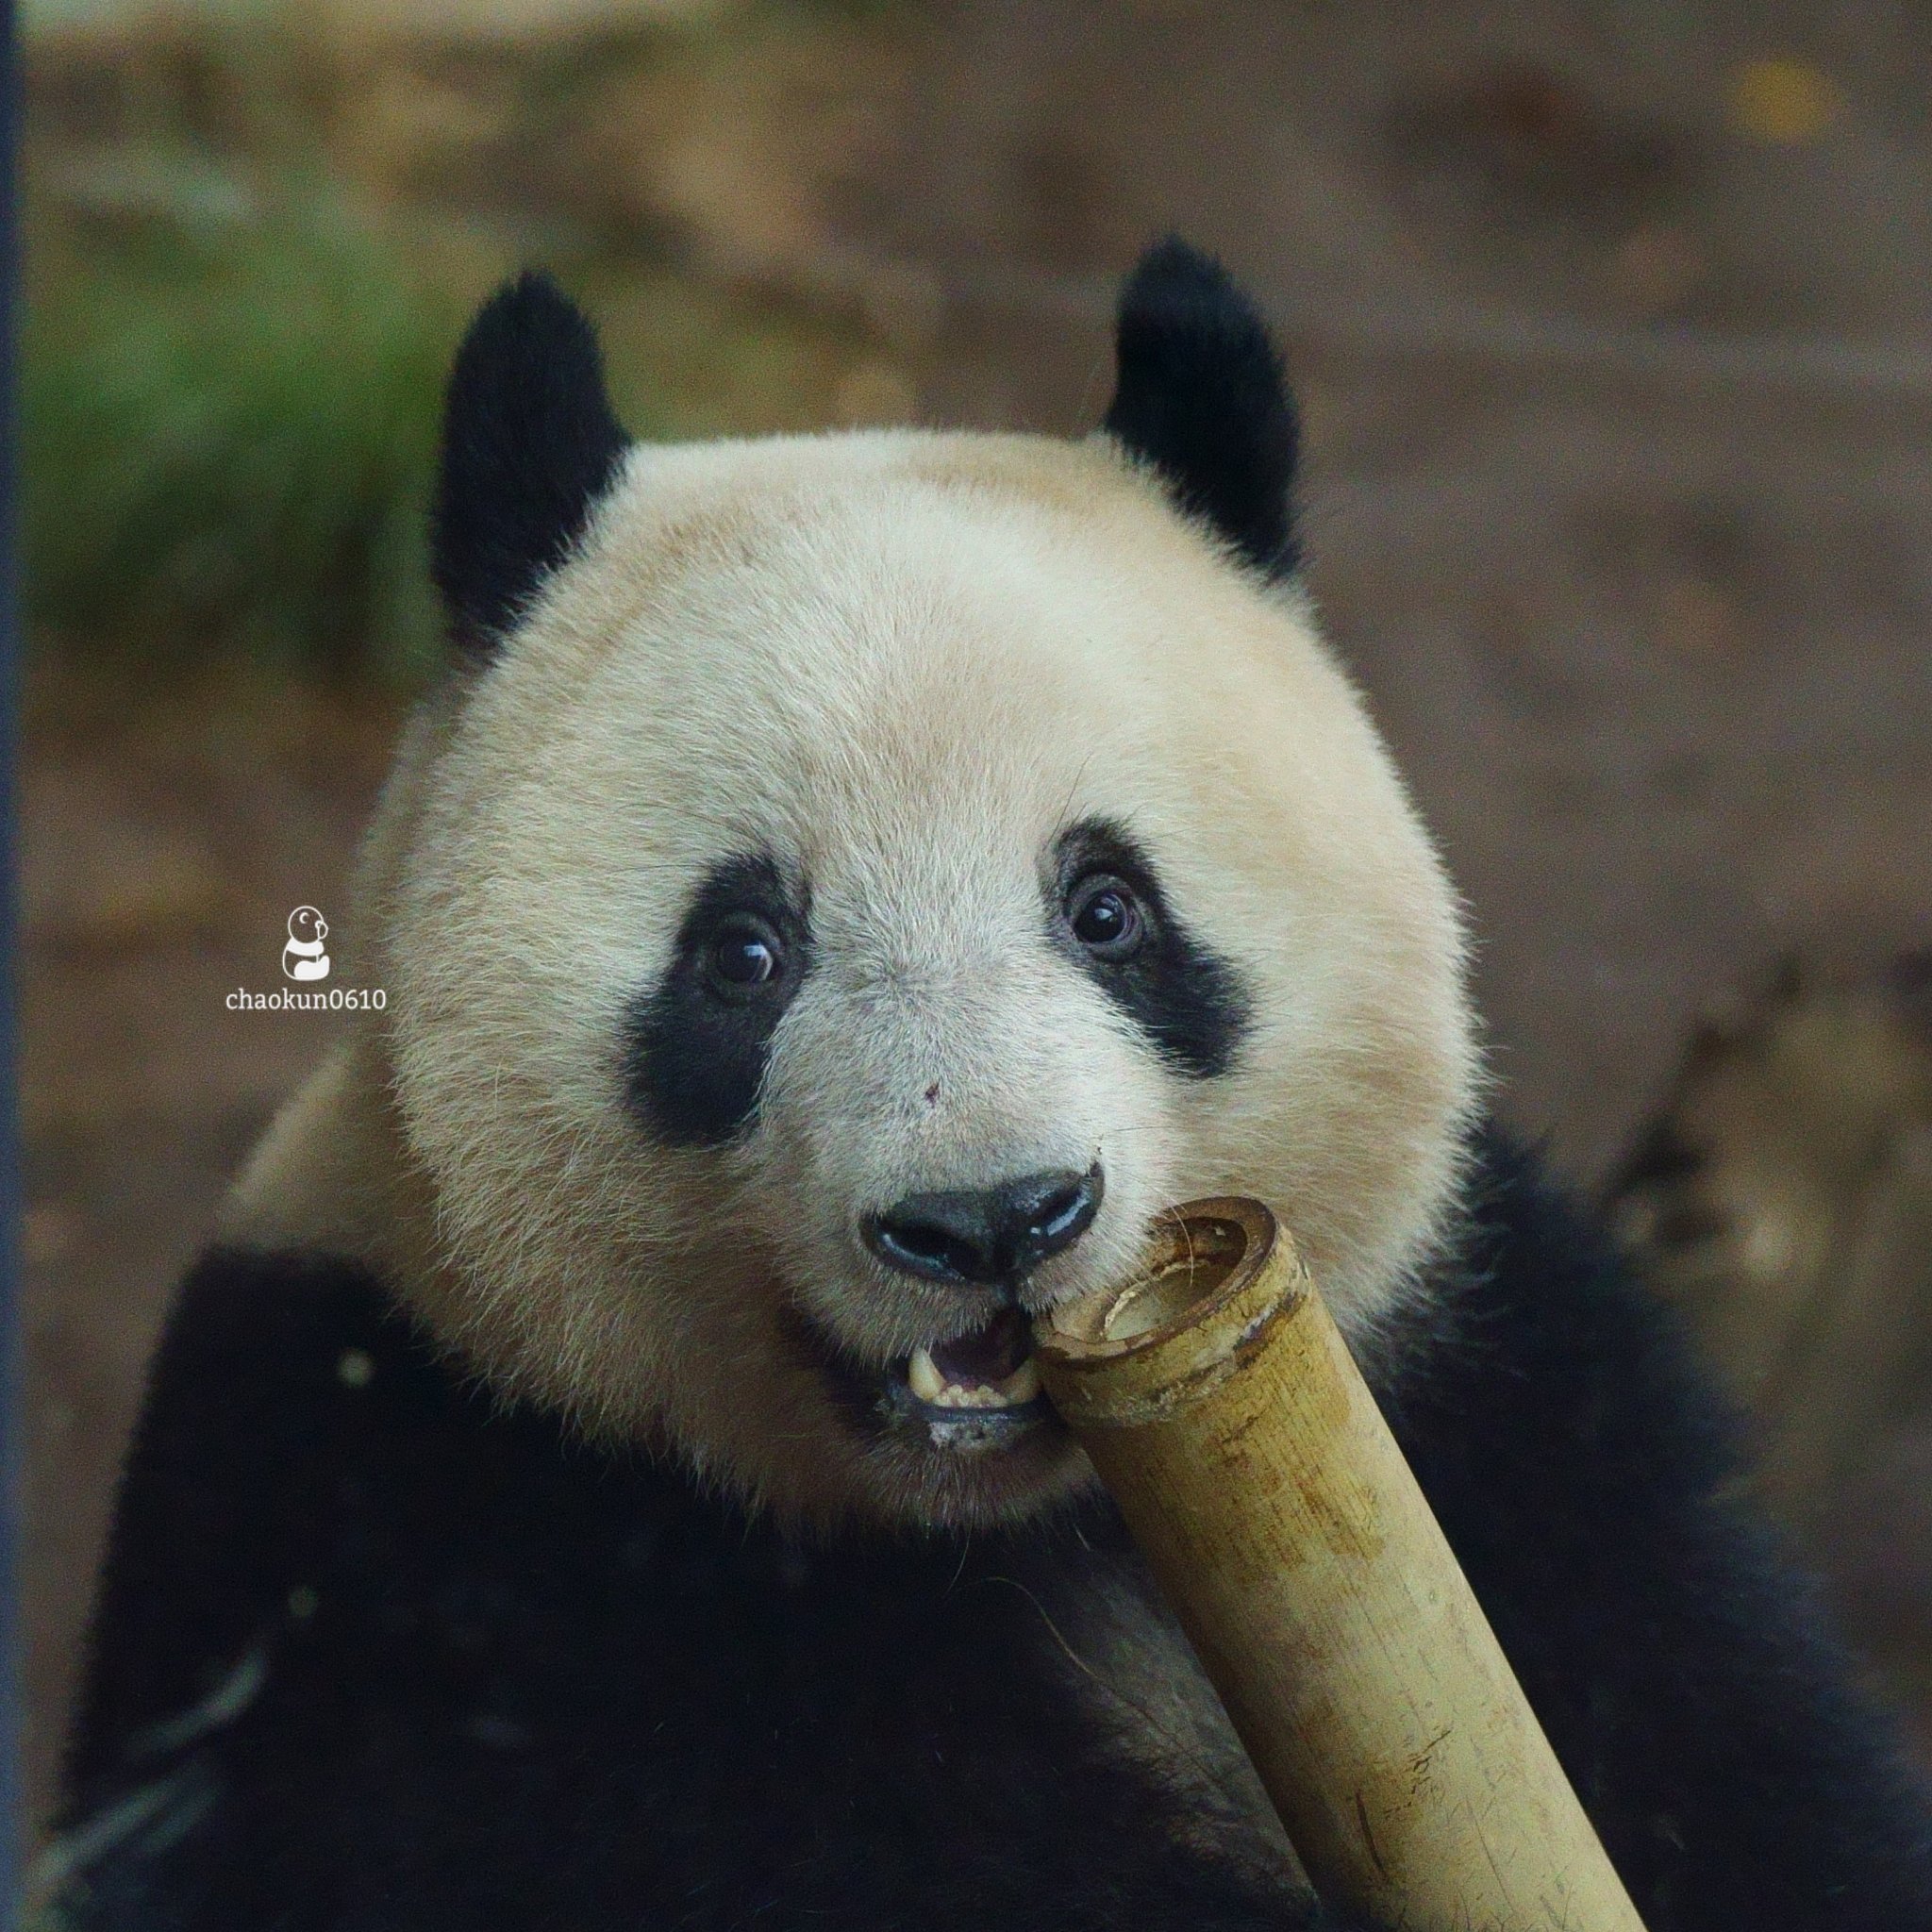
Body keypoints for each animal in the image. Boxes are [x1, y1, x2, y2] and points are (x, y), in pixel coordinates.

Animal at [48, 240, 1932, 1931]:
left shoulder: (1502, 1401)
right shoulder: (414, 1532)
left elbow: (1740, 1758)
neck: (1023, 1525)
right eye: (744, 950)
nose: (992, 1220)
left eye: (1107, 908)